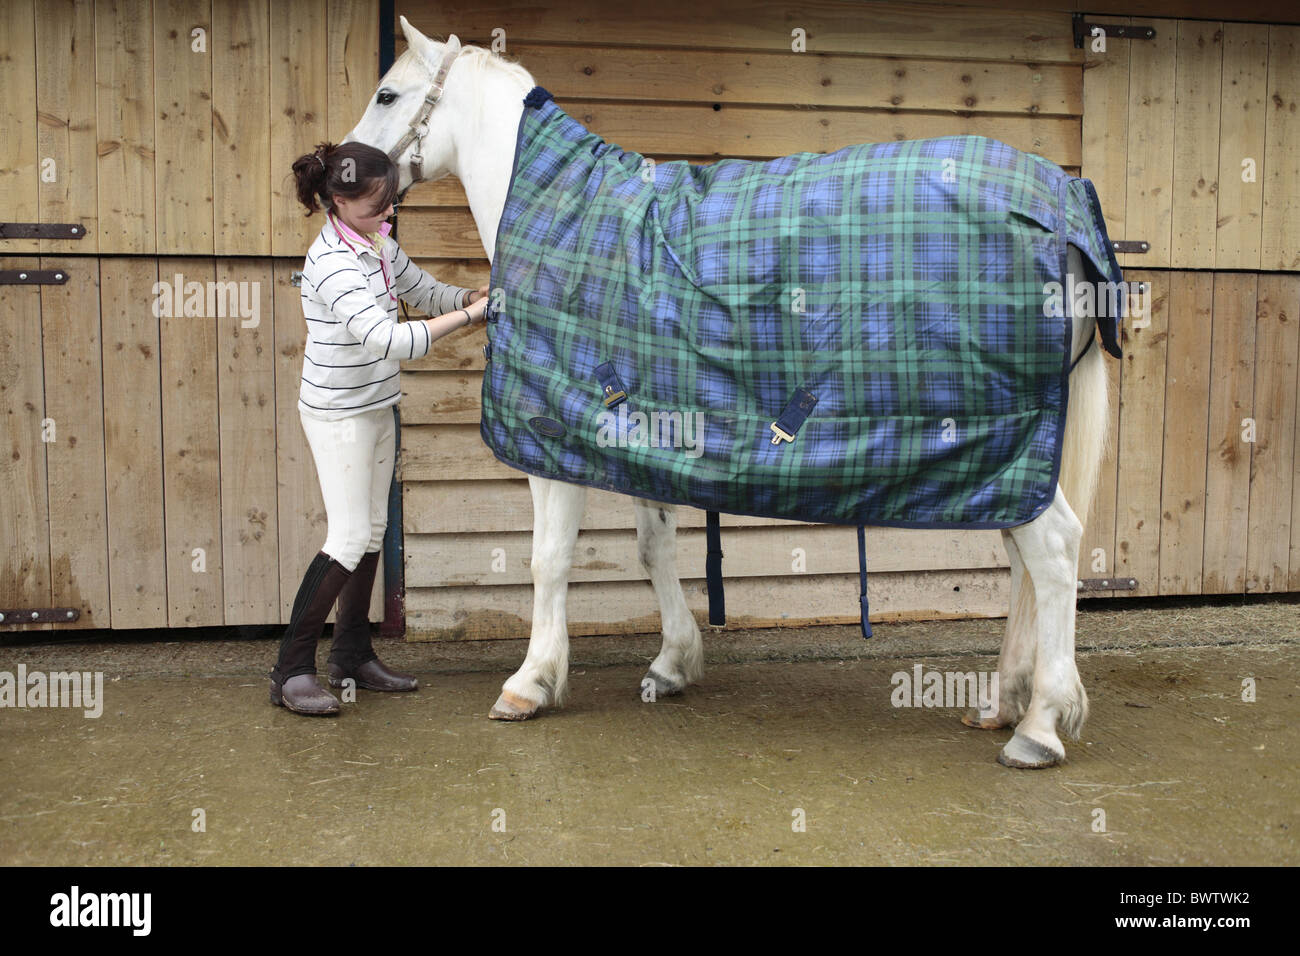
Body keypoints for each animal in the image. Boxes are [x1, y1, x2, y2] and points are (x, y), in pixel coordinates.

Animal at [344, 17, 1113, 768]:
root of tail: (1063, 201)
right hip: (1007, 458)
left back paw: (1040, 724)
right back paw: (1002, 701)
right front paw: (673, 664)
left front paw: (530, 682)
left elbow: (548, 559)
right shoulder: (637, 433)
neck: (558, 211)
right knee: (1024, 555)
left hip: (1005, 443)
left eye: (386, 95)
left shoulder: (553, 434)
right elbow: (653, 547)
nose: (334, 176)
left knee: (1053, 549)